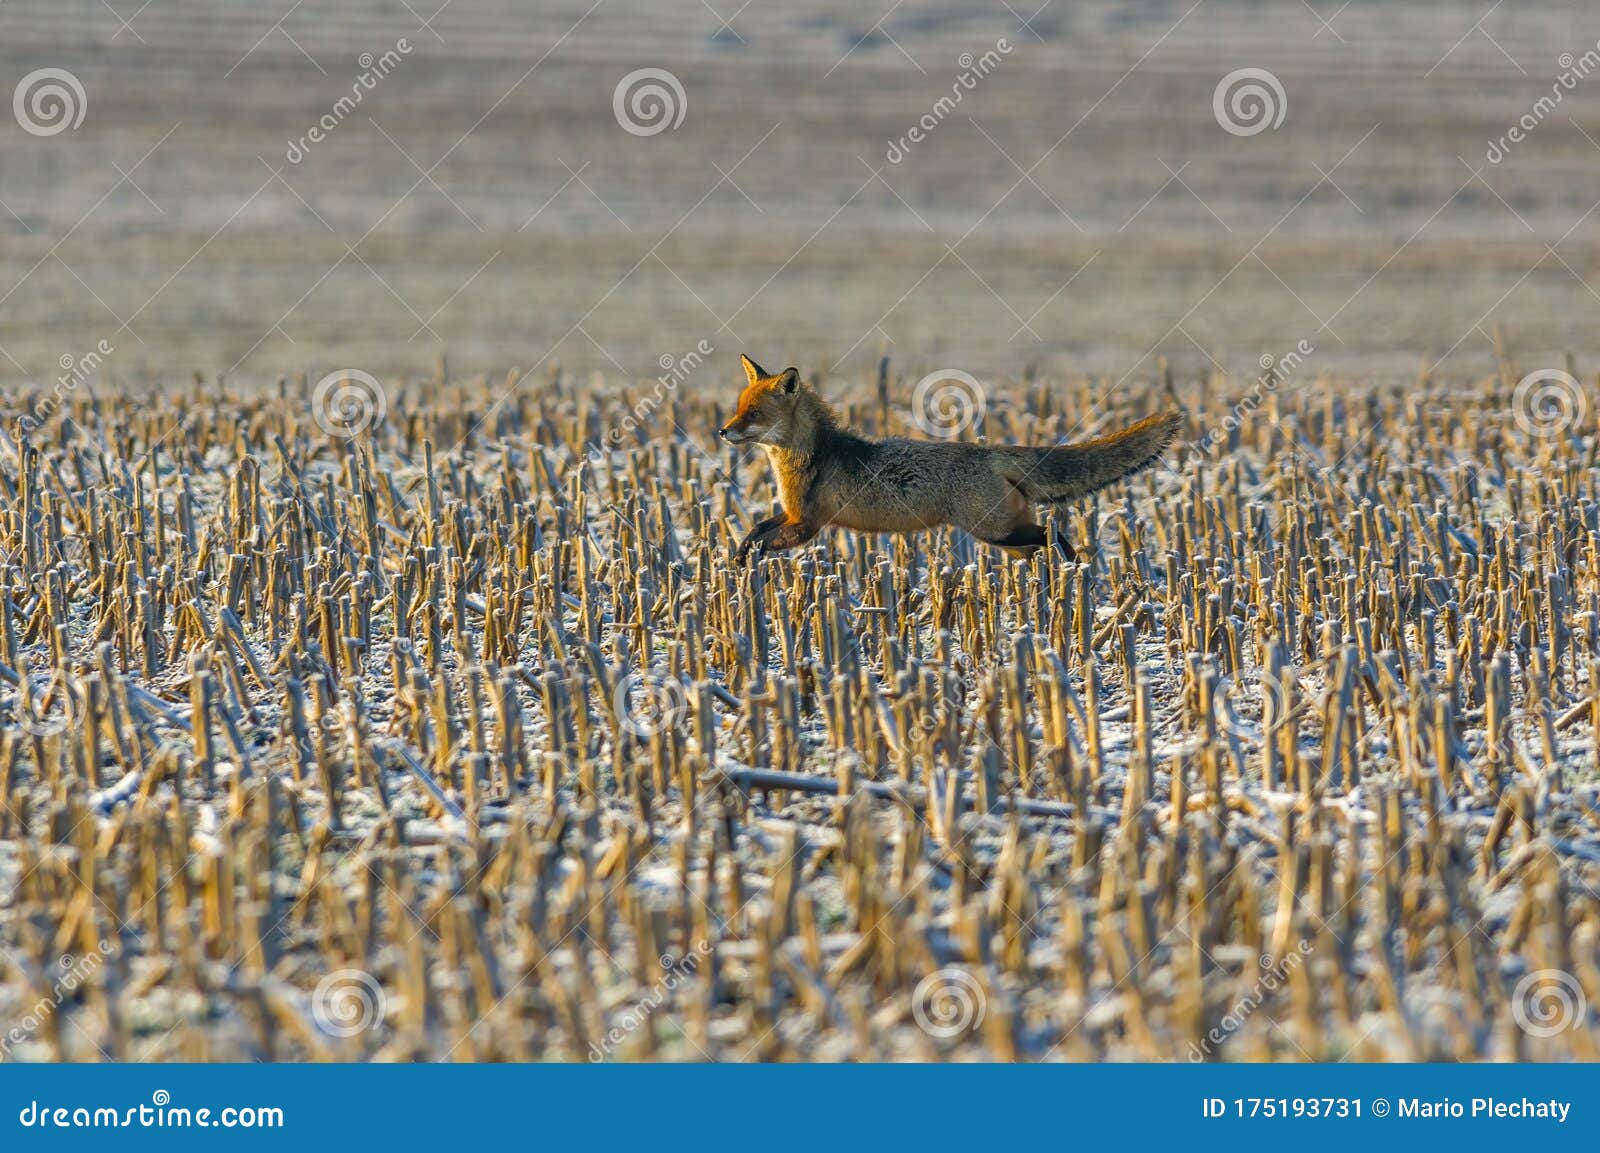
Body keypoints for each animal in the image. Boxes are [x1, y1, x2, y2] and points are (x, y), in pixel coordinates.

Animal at [719, 354, 1181, 562]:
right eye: (738, 408)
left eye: (753, 414)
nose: (722, 431)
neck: (805, 459)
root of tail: (989, 452)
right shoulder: (790, 514)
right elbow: (756, 528)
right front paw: (739, 553)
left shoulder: (807, 525)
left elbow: (763, 543)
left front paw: (744, 561)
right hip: (1006, 537)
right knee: (1043, 541)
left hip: (996, 532)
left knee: (1053, 536)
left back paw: (1072, 569)